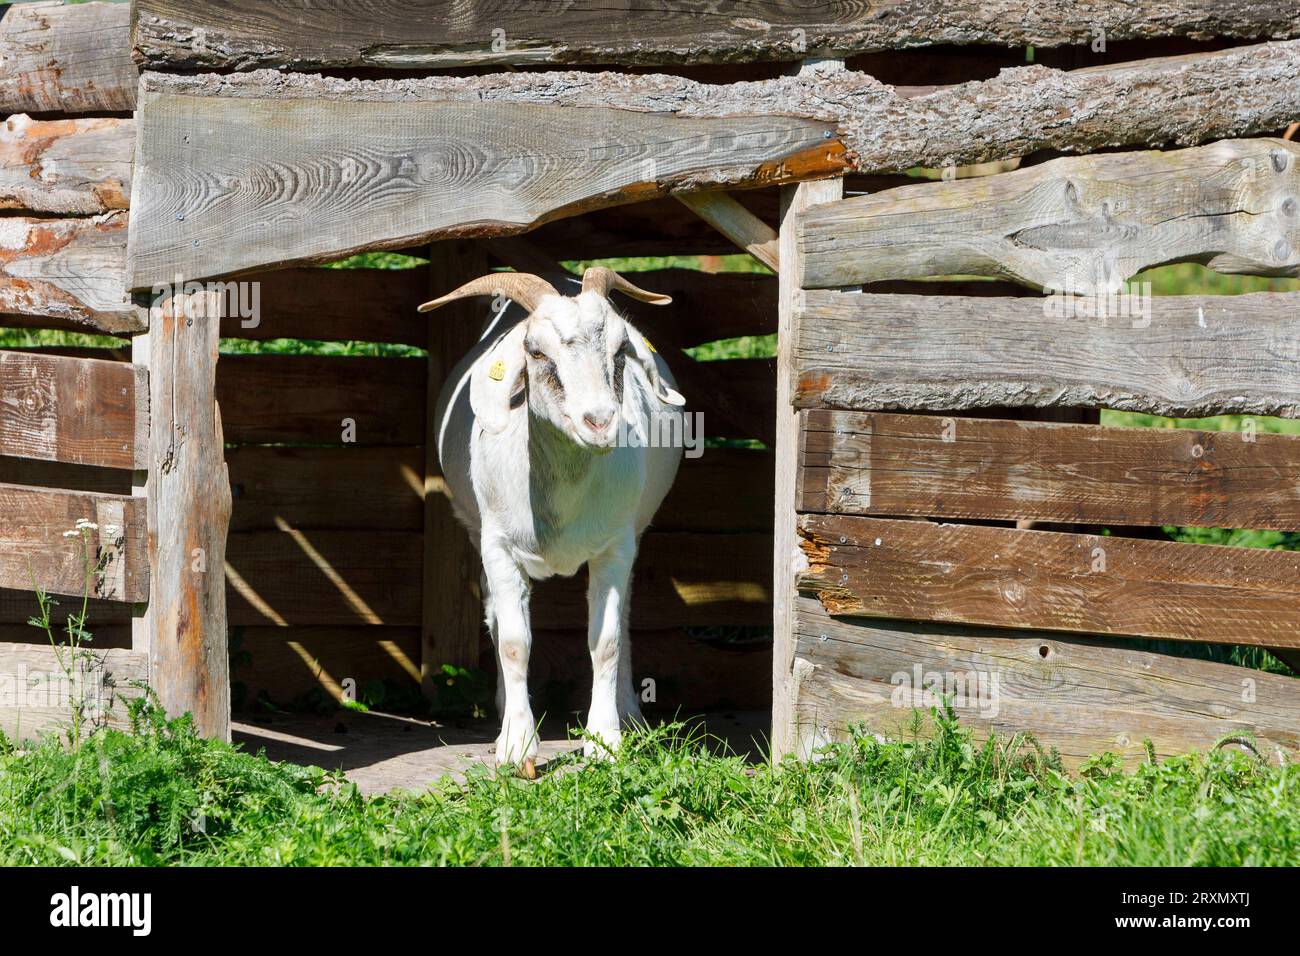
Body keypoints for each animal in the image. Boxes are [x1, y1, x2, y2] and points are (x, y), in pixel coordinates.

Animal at [424, 266, 686, 777]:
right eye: (536, 351)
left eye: (620, 350)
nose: (600, 421)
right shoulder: (498, 546)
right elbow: (513, 641)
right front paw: (517, 746)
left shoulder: (615, 546)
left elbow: (606, 639)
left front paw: (605, 741)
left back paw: (628, 711)